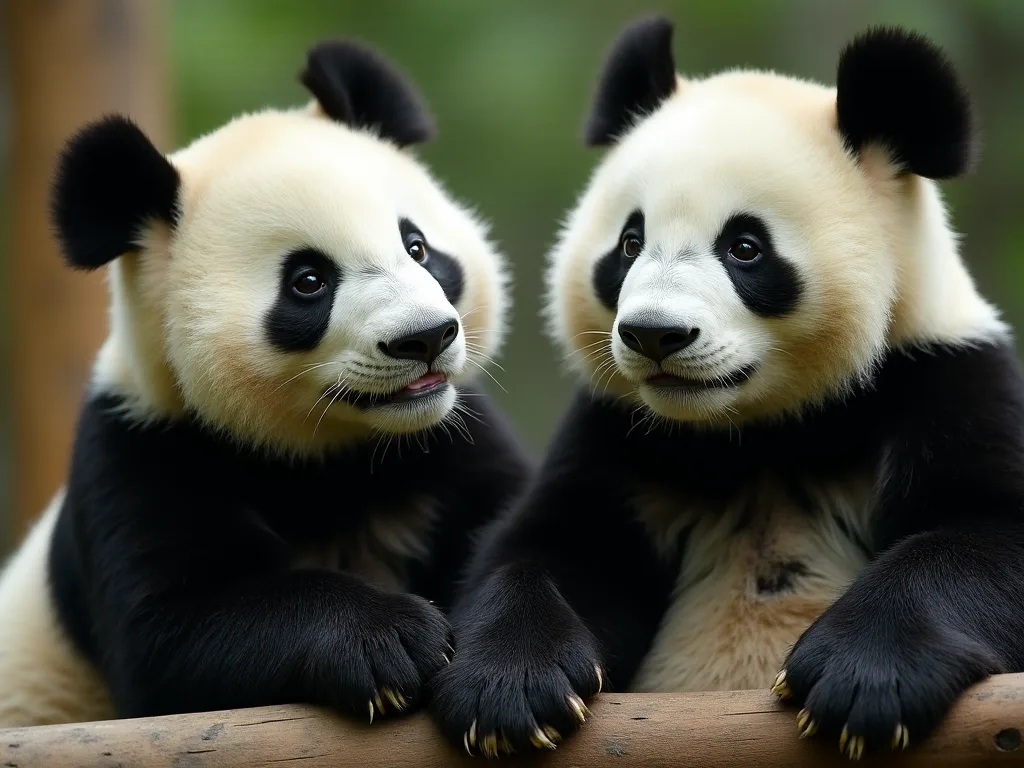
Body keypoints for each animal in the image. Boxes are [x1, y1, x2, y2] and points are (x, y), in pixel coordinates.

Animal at [0, 38, 531, 728]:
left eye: (417, 247)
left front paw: (513, 678)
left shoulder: (451, 442)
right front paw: (394, 639)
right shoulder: (140, 451)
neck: (335, 453)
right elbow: (171, 635)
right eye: (308, 281)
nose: (424, 338)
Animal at [430, 15, 1024, 762]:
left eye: (745, 247)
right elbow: (553, 547)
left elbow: (977, 535)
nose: (655, 334)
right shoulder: (618, 429)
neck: (753, 430)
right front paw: (507, 690)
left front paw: (864, 680)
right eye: (629, 242)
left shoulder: (940, 378)